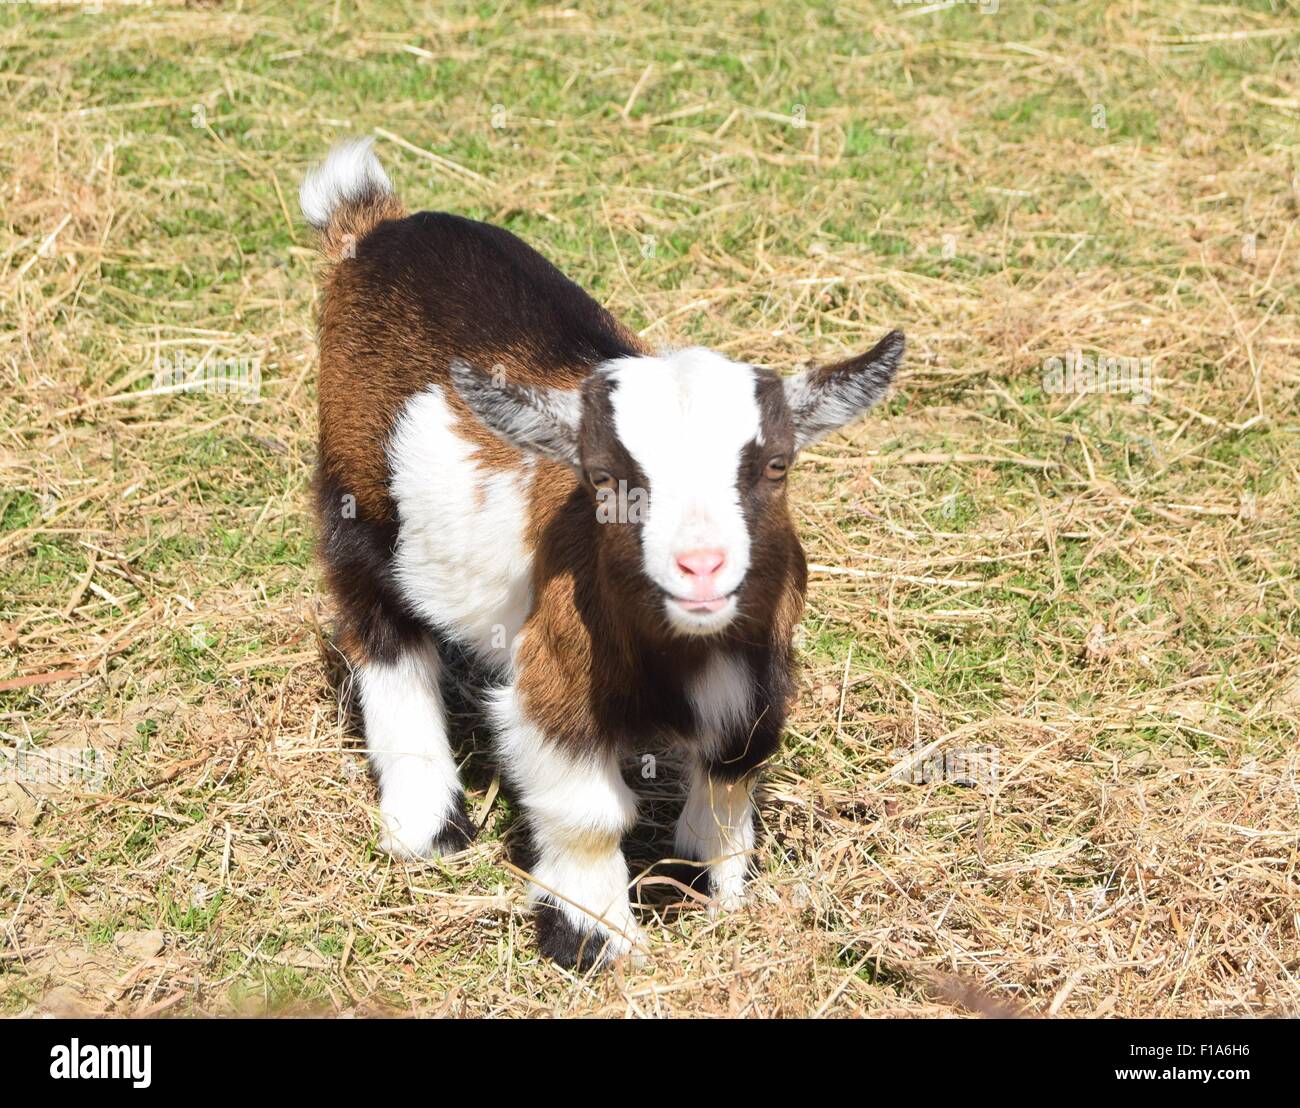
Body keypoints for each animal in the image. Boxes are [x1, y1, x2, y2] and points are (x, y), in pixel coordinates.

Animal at [301, 138, 904, 968]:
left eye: (775, 465)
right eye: (605, 478)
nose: (702, 566)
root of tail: (374, 225)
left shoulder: (761, 660)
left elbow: (737, 758)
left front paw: (712, 882)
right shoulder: (558, 676)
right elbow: (588, 810)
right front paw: (592, 941)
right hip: (356, 499)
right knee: (380, 633)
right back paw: (427, 824)